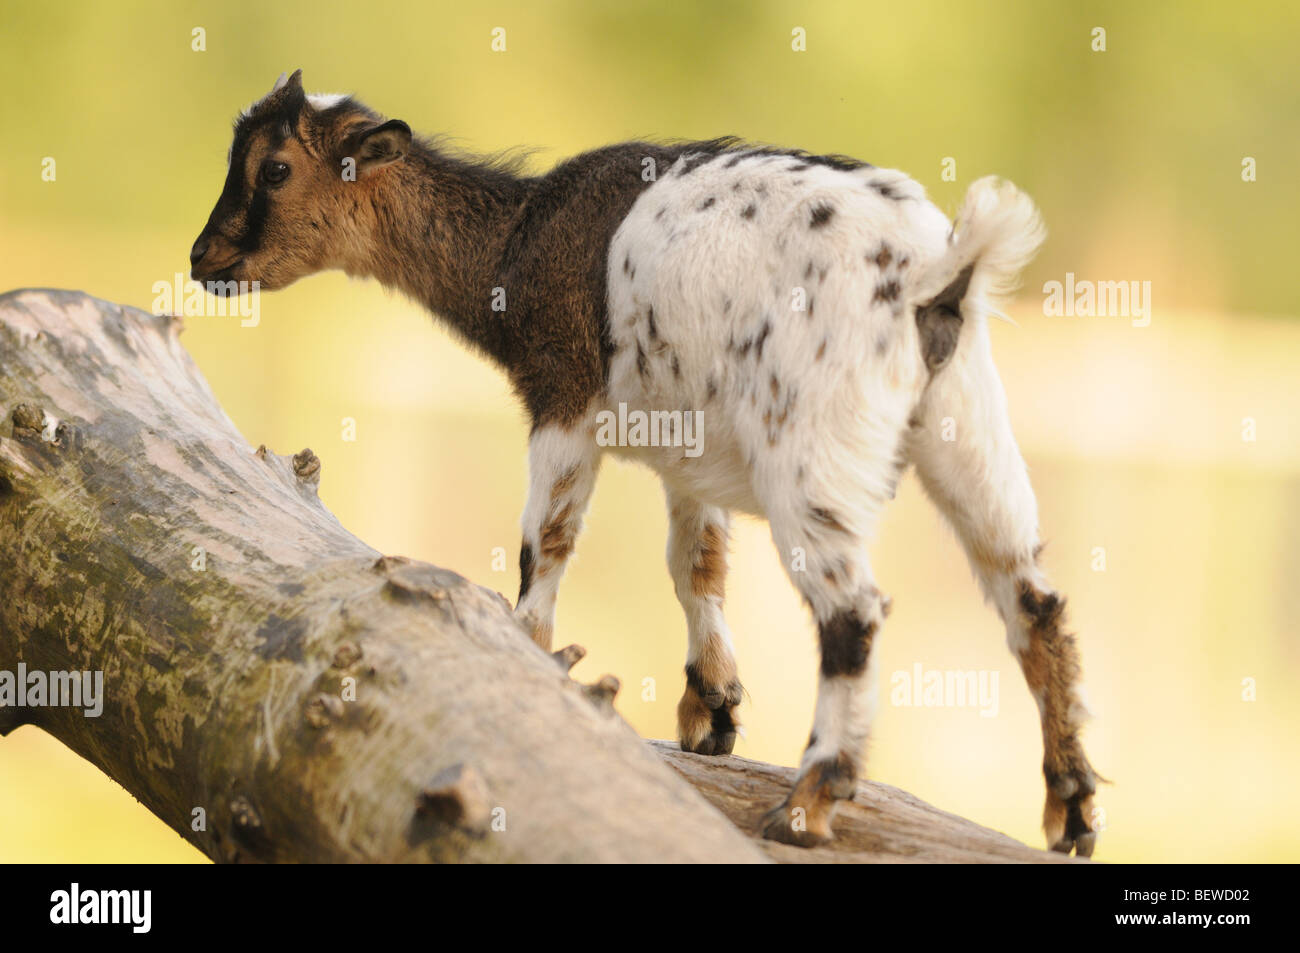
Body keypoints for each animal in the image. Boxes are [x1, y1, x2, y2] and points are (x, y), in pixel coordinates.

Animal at [191, 70, 1101, 854]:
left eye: (275, 168)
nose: (203, 260)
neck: (515, 244)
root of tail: (937, 270)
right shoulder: (687, 456)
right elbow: (697, 564)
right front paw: (712, 713)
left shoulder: (562, 399)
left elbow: (546, 544)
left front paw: (532, 660)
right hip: (967, 427)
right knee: (1034, 600)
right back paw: (1072, 812)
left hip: (810, 449)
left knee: (853, 614)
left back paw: (808, 802)